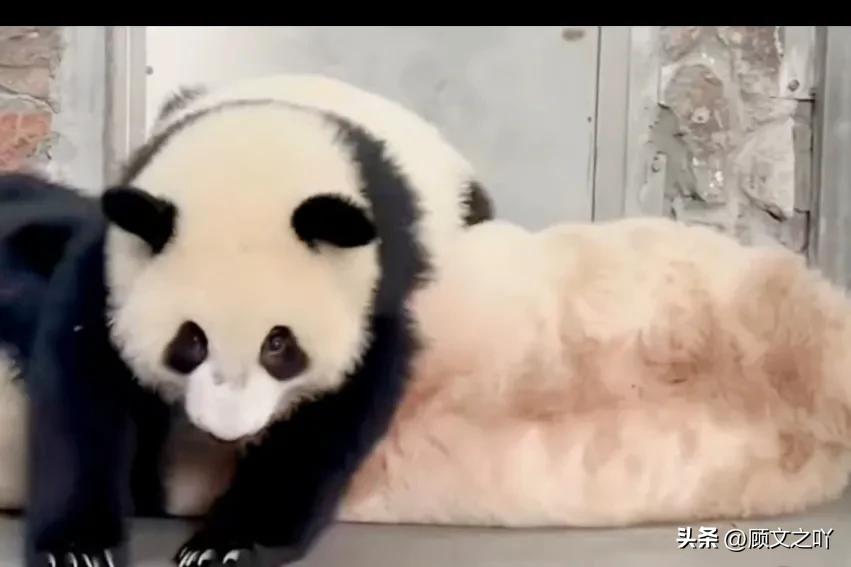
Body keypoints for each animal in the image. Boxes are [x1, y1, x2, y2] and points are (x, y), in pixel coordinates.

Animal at [0, 74, 494, 567]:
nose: (226, 430)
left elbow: (330, 418)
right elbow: (85, 385)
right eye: (191, 341)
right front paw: (78, 549)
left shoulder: (372, 289)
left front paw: (224, 545)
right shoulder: (112, 264)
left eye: (278, 344)